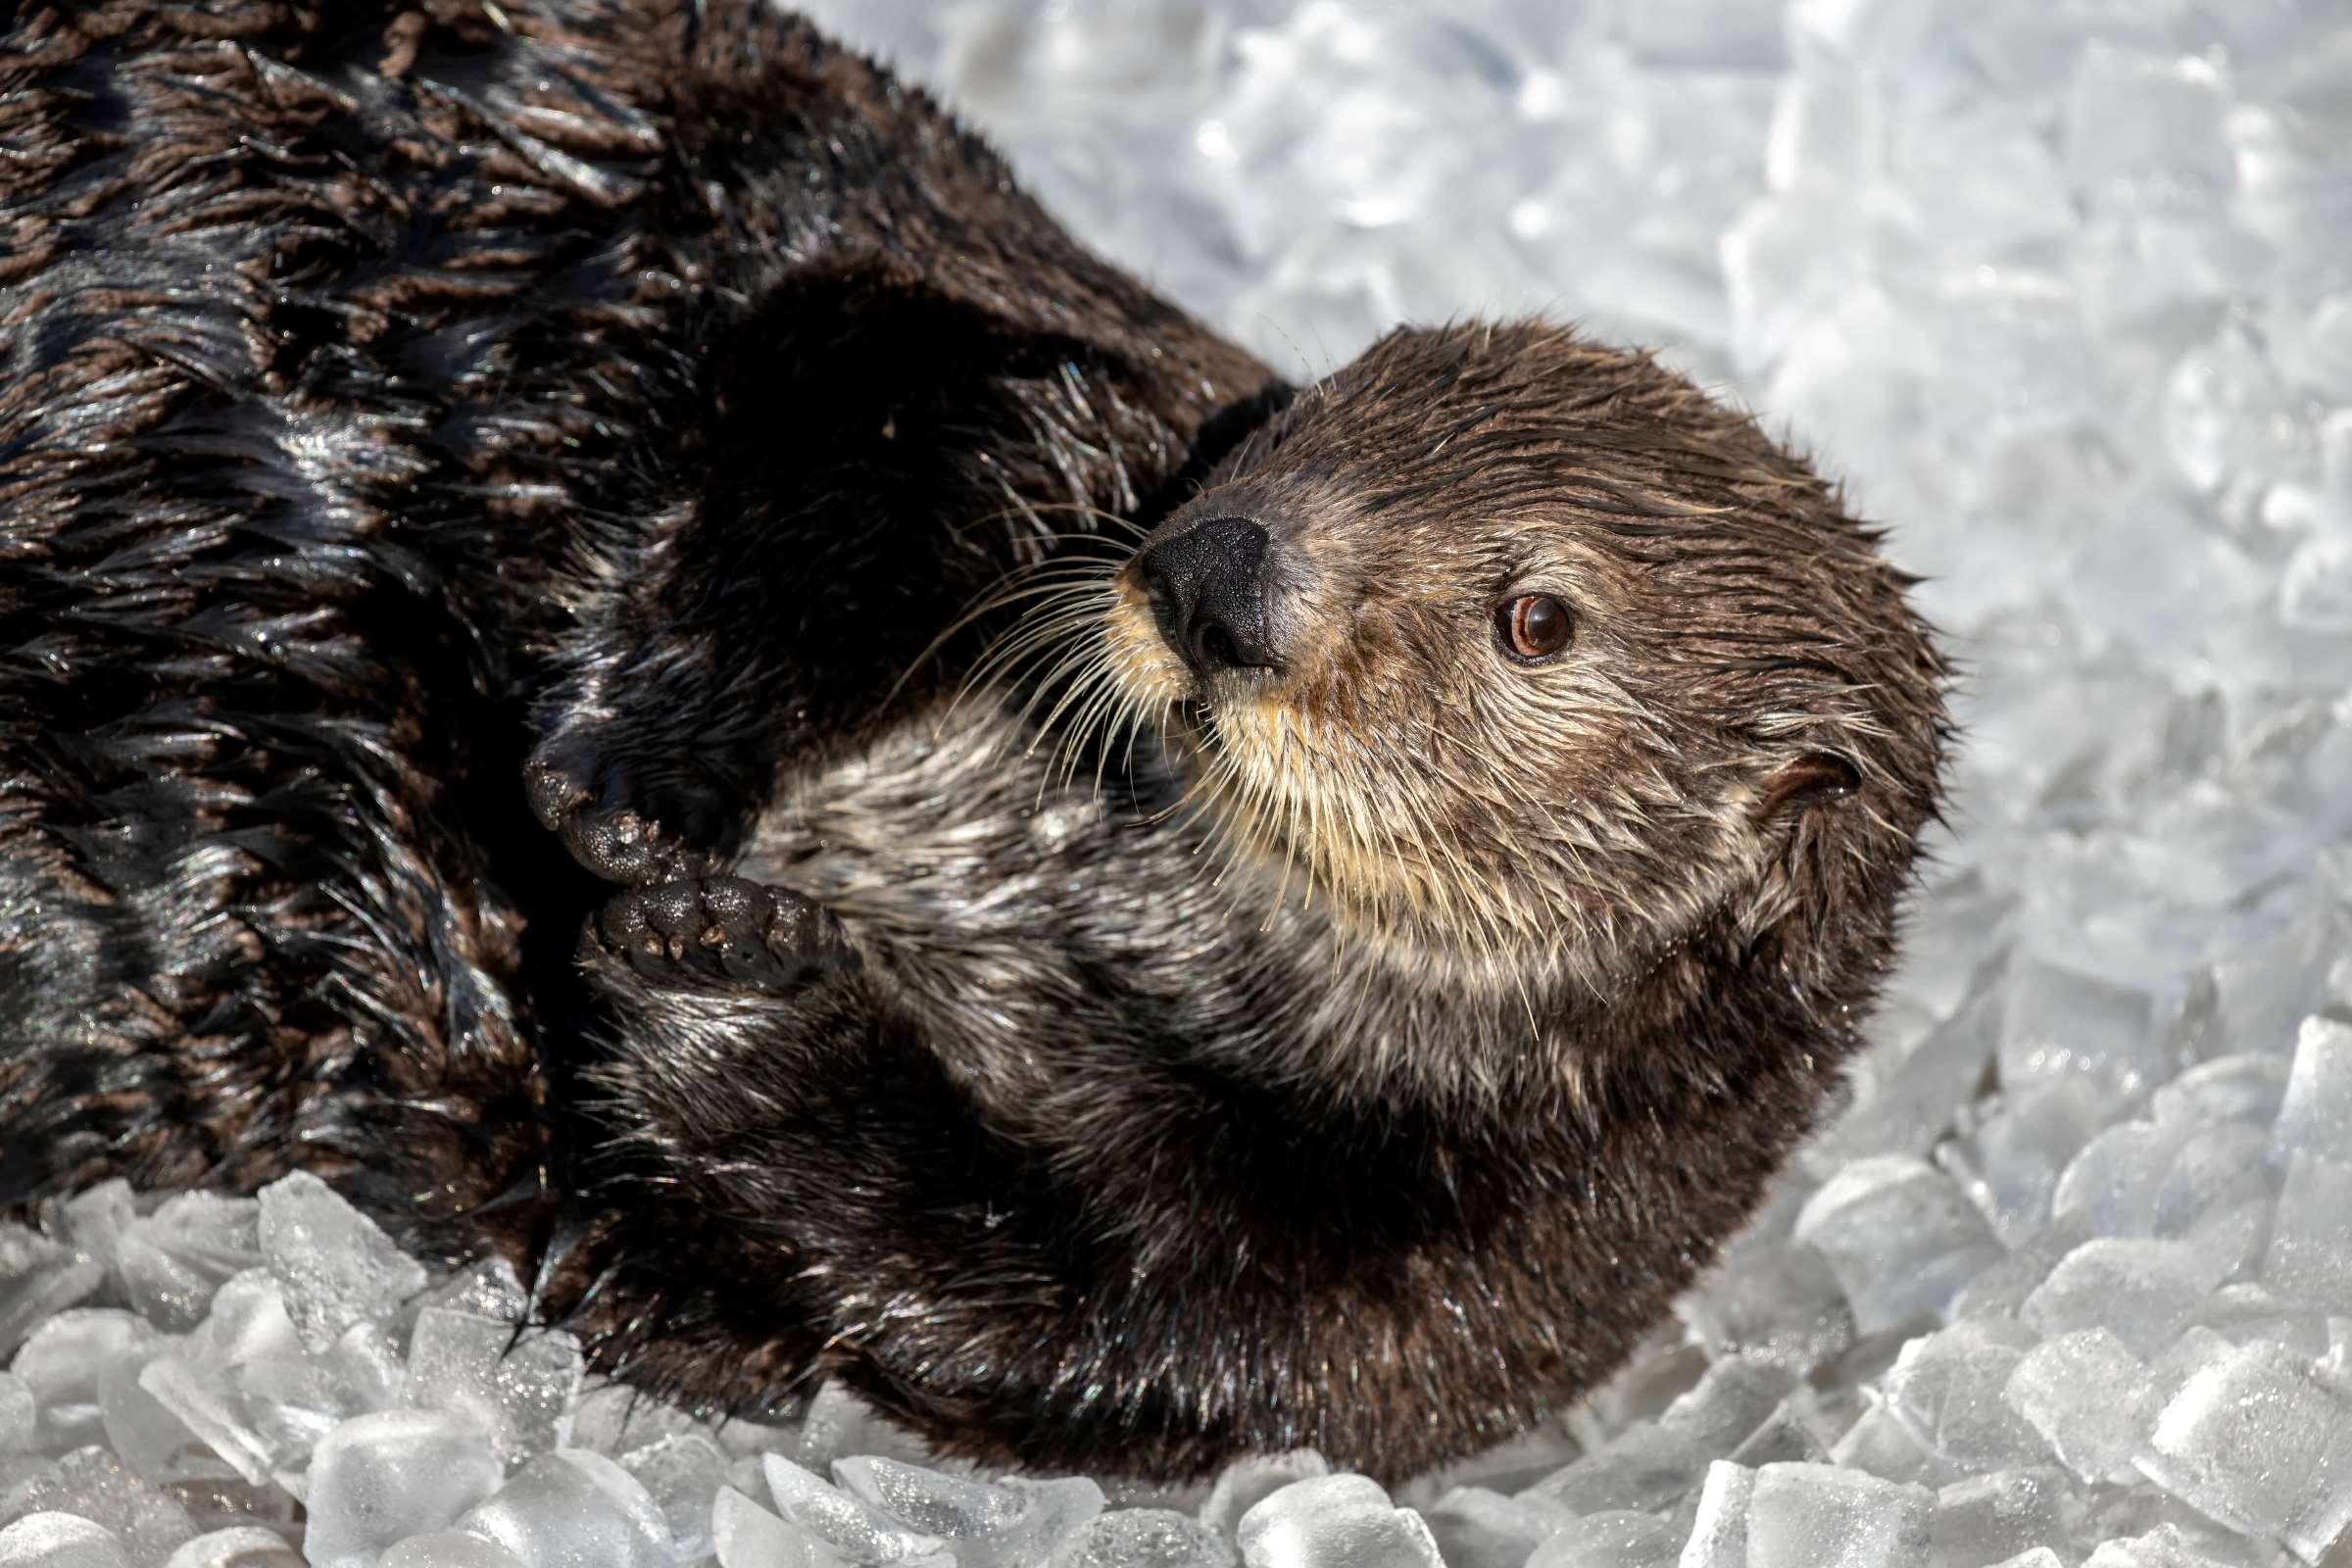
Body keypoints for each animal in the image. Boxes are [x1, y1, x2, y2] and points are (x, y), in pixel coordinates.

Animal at [0, 0, 1950, 1483]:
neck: (1122, 897)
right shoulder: (1012, 345)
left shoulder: (1349, 1322)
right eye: (1319, 415)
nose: (1215, 577)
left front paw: (703, 965)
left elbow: (932, 1267)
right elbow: (882, 387)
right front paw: (636, 787)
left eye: (1537, 618)